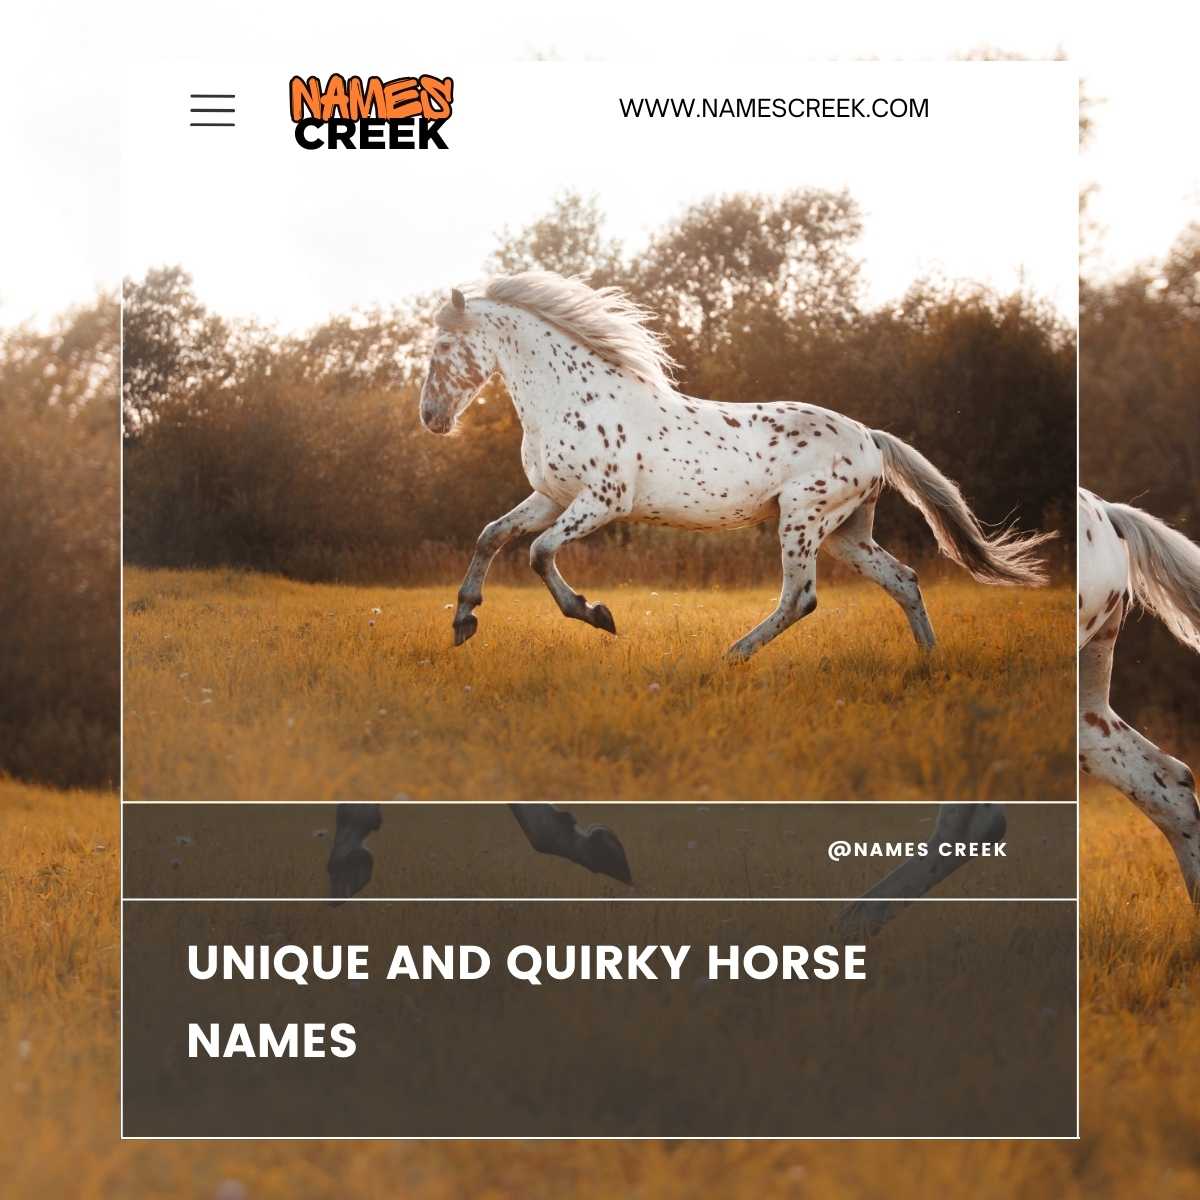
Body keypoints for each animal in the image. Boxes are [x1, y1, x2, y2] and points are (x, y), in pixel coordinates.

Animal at [417, 271, 1053, 661]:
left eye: (443, 348)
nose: (431, 418)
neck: (574, 395)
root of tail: (870, 438)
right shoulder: (552, 496)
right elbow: (491, 535)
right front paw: (463, 623)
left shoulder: (602, 501)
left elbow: (537, 552)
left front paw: (598, 614)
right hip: (846, 533)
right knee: (904, 580)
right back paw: (928, 660)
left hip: (802, 519)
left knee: (800, 598)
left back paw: (731, 655)